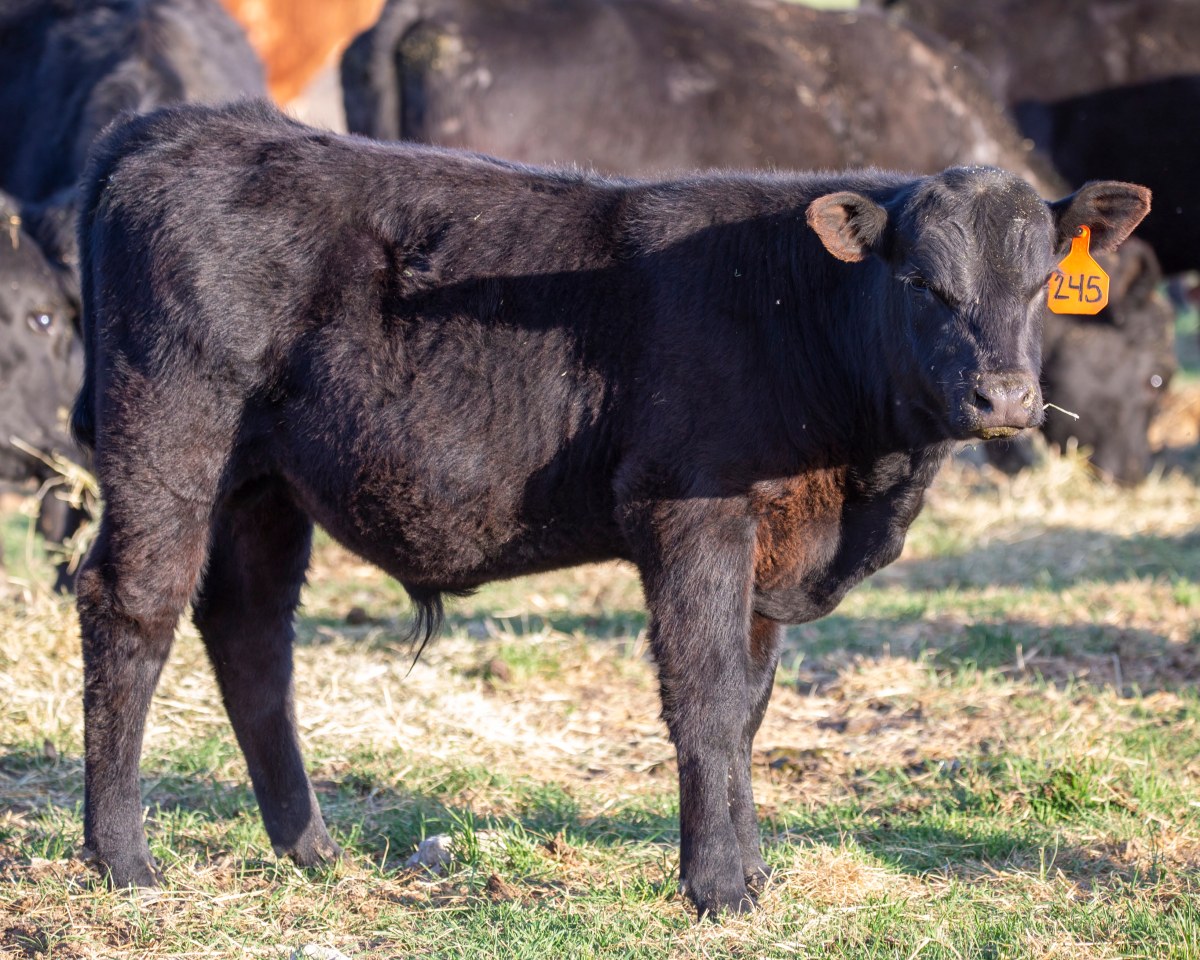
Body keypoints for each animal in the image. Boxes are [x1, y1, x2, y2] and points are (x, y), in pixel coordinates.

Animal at [72, 99, 1150, 915]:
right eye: (924, 282)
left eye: (1042, 281)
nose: (1004, 398)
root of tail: (184, 127)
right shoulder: (691, 513)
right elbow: (705, 700)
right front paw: (718, 888)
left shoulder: (770, 550)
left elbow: (747, 709)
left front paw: (749, 867)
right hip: (171, 430)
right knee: (132, 607)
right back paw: (123, 861)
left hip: (264, 483)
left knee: (250, 631)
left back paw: (308, 848)